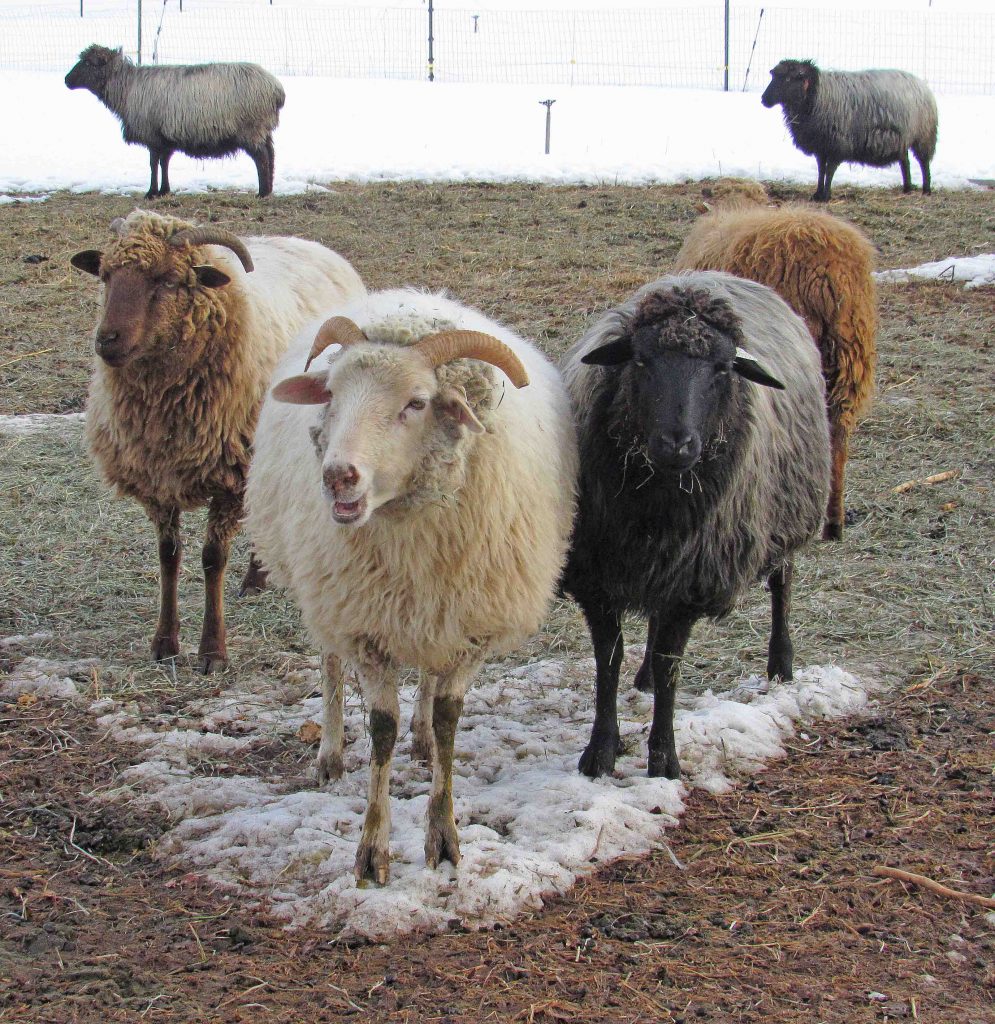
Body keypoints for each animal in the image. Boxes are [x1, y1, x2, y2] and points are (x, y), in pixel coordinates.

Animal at [65, 44, 286, 198]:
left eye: (88, 63)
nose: (66, 80)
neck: (126, 87)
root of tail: (276, 90)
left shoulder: (153, 135)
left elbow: (153, 163)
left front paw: (151, 192)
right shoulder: (165, 137)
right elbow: (164, 162)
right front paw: (164, 190)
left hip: (251, 128)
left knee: (261, 158)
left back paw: (262, 192)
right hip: (263, 128)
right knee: (271, 154)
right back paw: (269, 189)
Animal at [70, 209, 366, 673]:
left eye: (169, 280)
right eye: (105, 275)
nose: (107, 341)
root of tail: (315, 246)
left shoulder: (231, 478)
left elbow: (212, 560)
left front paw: (212, 650)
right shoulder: (158, 479)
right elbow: (168, 556)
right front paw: (165, 642)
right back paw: (256, 579)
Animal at [245, 289, 578, 882]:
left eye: (418, 403)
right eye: (331, 395)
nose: (338, 476)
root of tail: (405, 298)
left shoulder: (472, 625)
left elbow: (449, 719)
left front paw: (443, 837)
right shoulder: (363, 626)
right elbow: (381, 728)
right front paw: (372, 850)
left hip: (435, 610)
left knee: (427, 673)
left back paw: (420, 734)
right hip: (328, 592)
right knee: (330, 662)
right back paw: (330, 751)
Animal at [560, 271, 829, 781]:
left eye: (722, 369)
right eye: (640, 360)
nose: (677, 444)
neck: (656, 502)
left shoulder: (691, 580)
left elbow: (671, 666)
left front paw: (664, 760)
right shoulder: (598, 574)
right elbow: (609, 661)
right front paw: (600, 750)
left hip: (784, 513)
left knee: (782, 582)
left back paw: (781, 664)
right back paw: (643, 676)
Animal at [761, 59, 938, 202]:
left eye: (788, 78)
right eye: (773, 76)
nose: (764, 99)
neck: (818, 95)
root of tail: (922, 84)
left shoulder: (837, 143)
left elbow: (829, 170)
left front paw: (825, 196)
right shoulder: (820, 144)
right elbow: (821, 169)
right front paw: (817, 193)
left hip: (923, 135)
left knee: (923, 163)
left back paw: (926, 190)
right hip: (901, 138)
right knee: (905, 162)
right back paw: (907, 188)